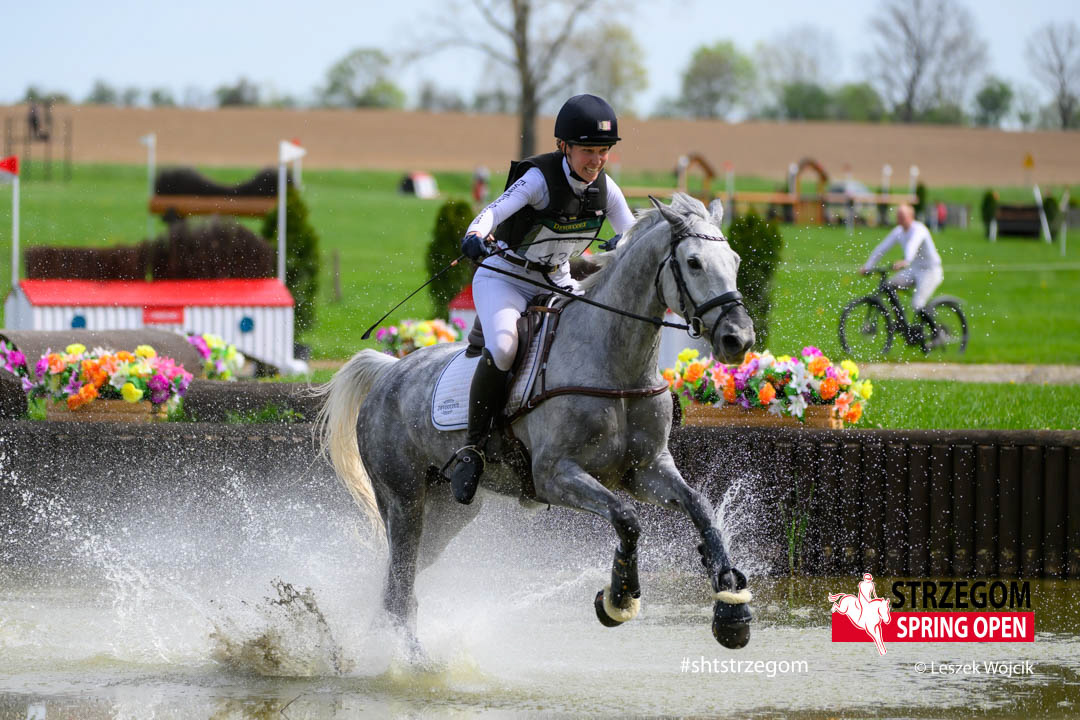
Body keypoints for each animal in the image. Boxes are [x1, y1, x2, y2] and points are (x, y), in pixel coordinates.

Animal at [314, 193, 756, 654]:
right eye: (693, 262)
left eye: (735, 260)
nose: (739, 338)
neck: (616, 366)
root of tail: (388, 372)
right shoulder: (554, 475)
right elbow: (626, 518)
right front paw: (618, 598)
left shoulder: (646, 469)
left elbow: (700, 507)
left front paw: (731, 606)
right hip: (403, 499)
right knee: (398, 583)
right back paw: (408, 659)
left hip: (447, 512)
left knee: (402, 577)